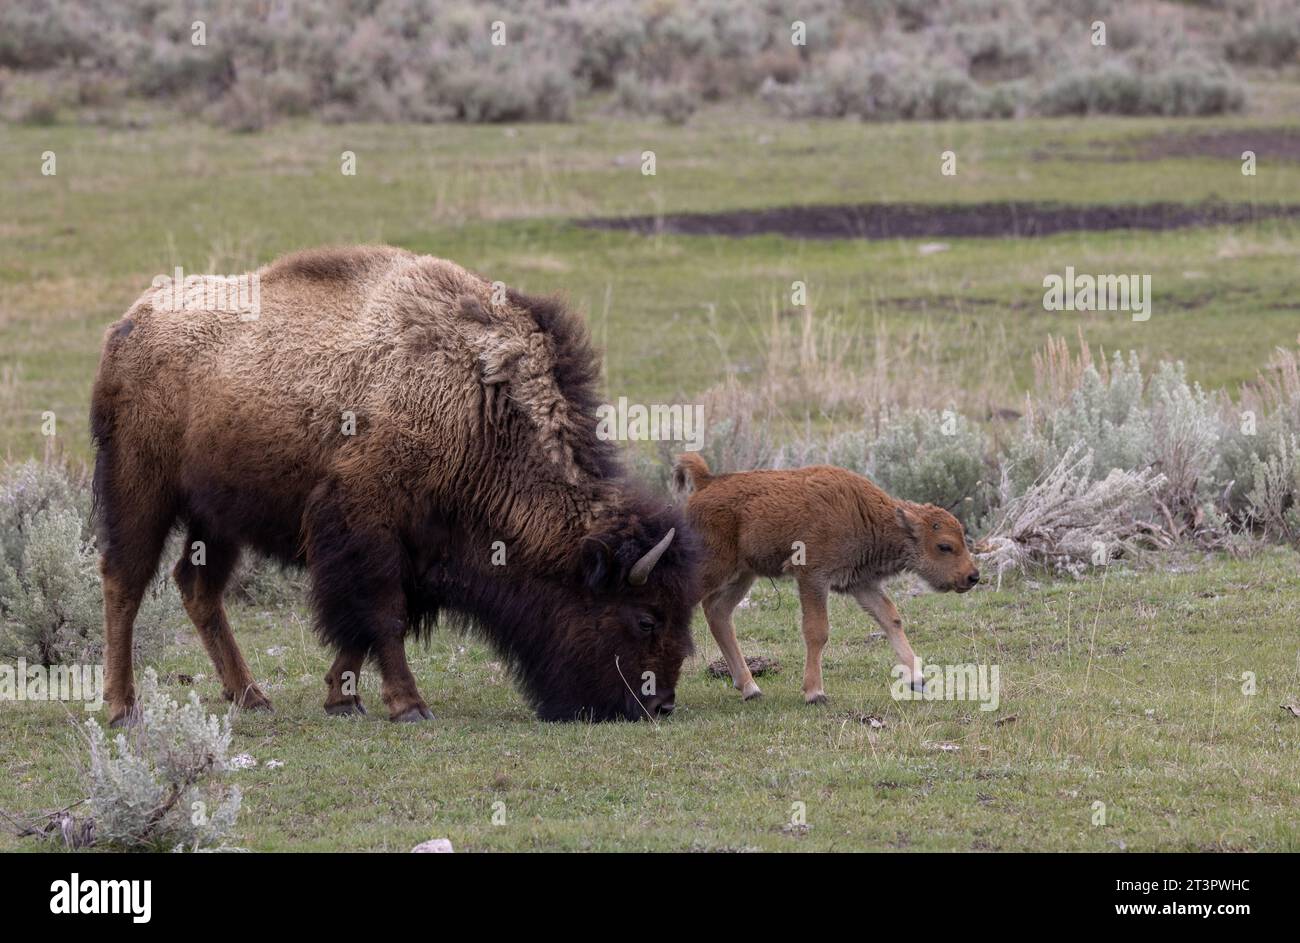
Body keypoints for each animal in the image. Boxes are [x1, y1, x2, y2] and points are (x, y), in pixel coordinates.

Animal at [90, 246, 700, 725]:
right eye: (646, 617)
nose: (660, 704)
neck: (477, 406)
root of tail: (129, 324)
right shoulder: (369, 526)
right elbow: (384, 614)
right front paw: (408, 705)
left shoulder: (414, 546)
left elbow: (367, 624)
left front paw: (343, 698)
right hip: (139, 488)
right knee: (125, 581)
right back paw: (123, 708)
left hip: (215, 516)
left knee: (197, 587)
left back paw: (251, 697)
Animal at [672, 454, 978, 703]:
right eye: (945, 546)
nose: (972, 576)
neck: (867, 514)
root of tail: (707, 482)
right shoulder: (813, 577)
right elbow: (817, 631)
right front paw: (815, 693)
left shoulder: (861, 583)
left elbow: (890, 618)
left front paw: (918, 680)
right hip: (714, 567)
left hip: (744, 574)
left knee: (718, 612)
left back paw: (750, 688)